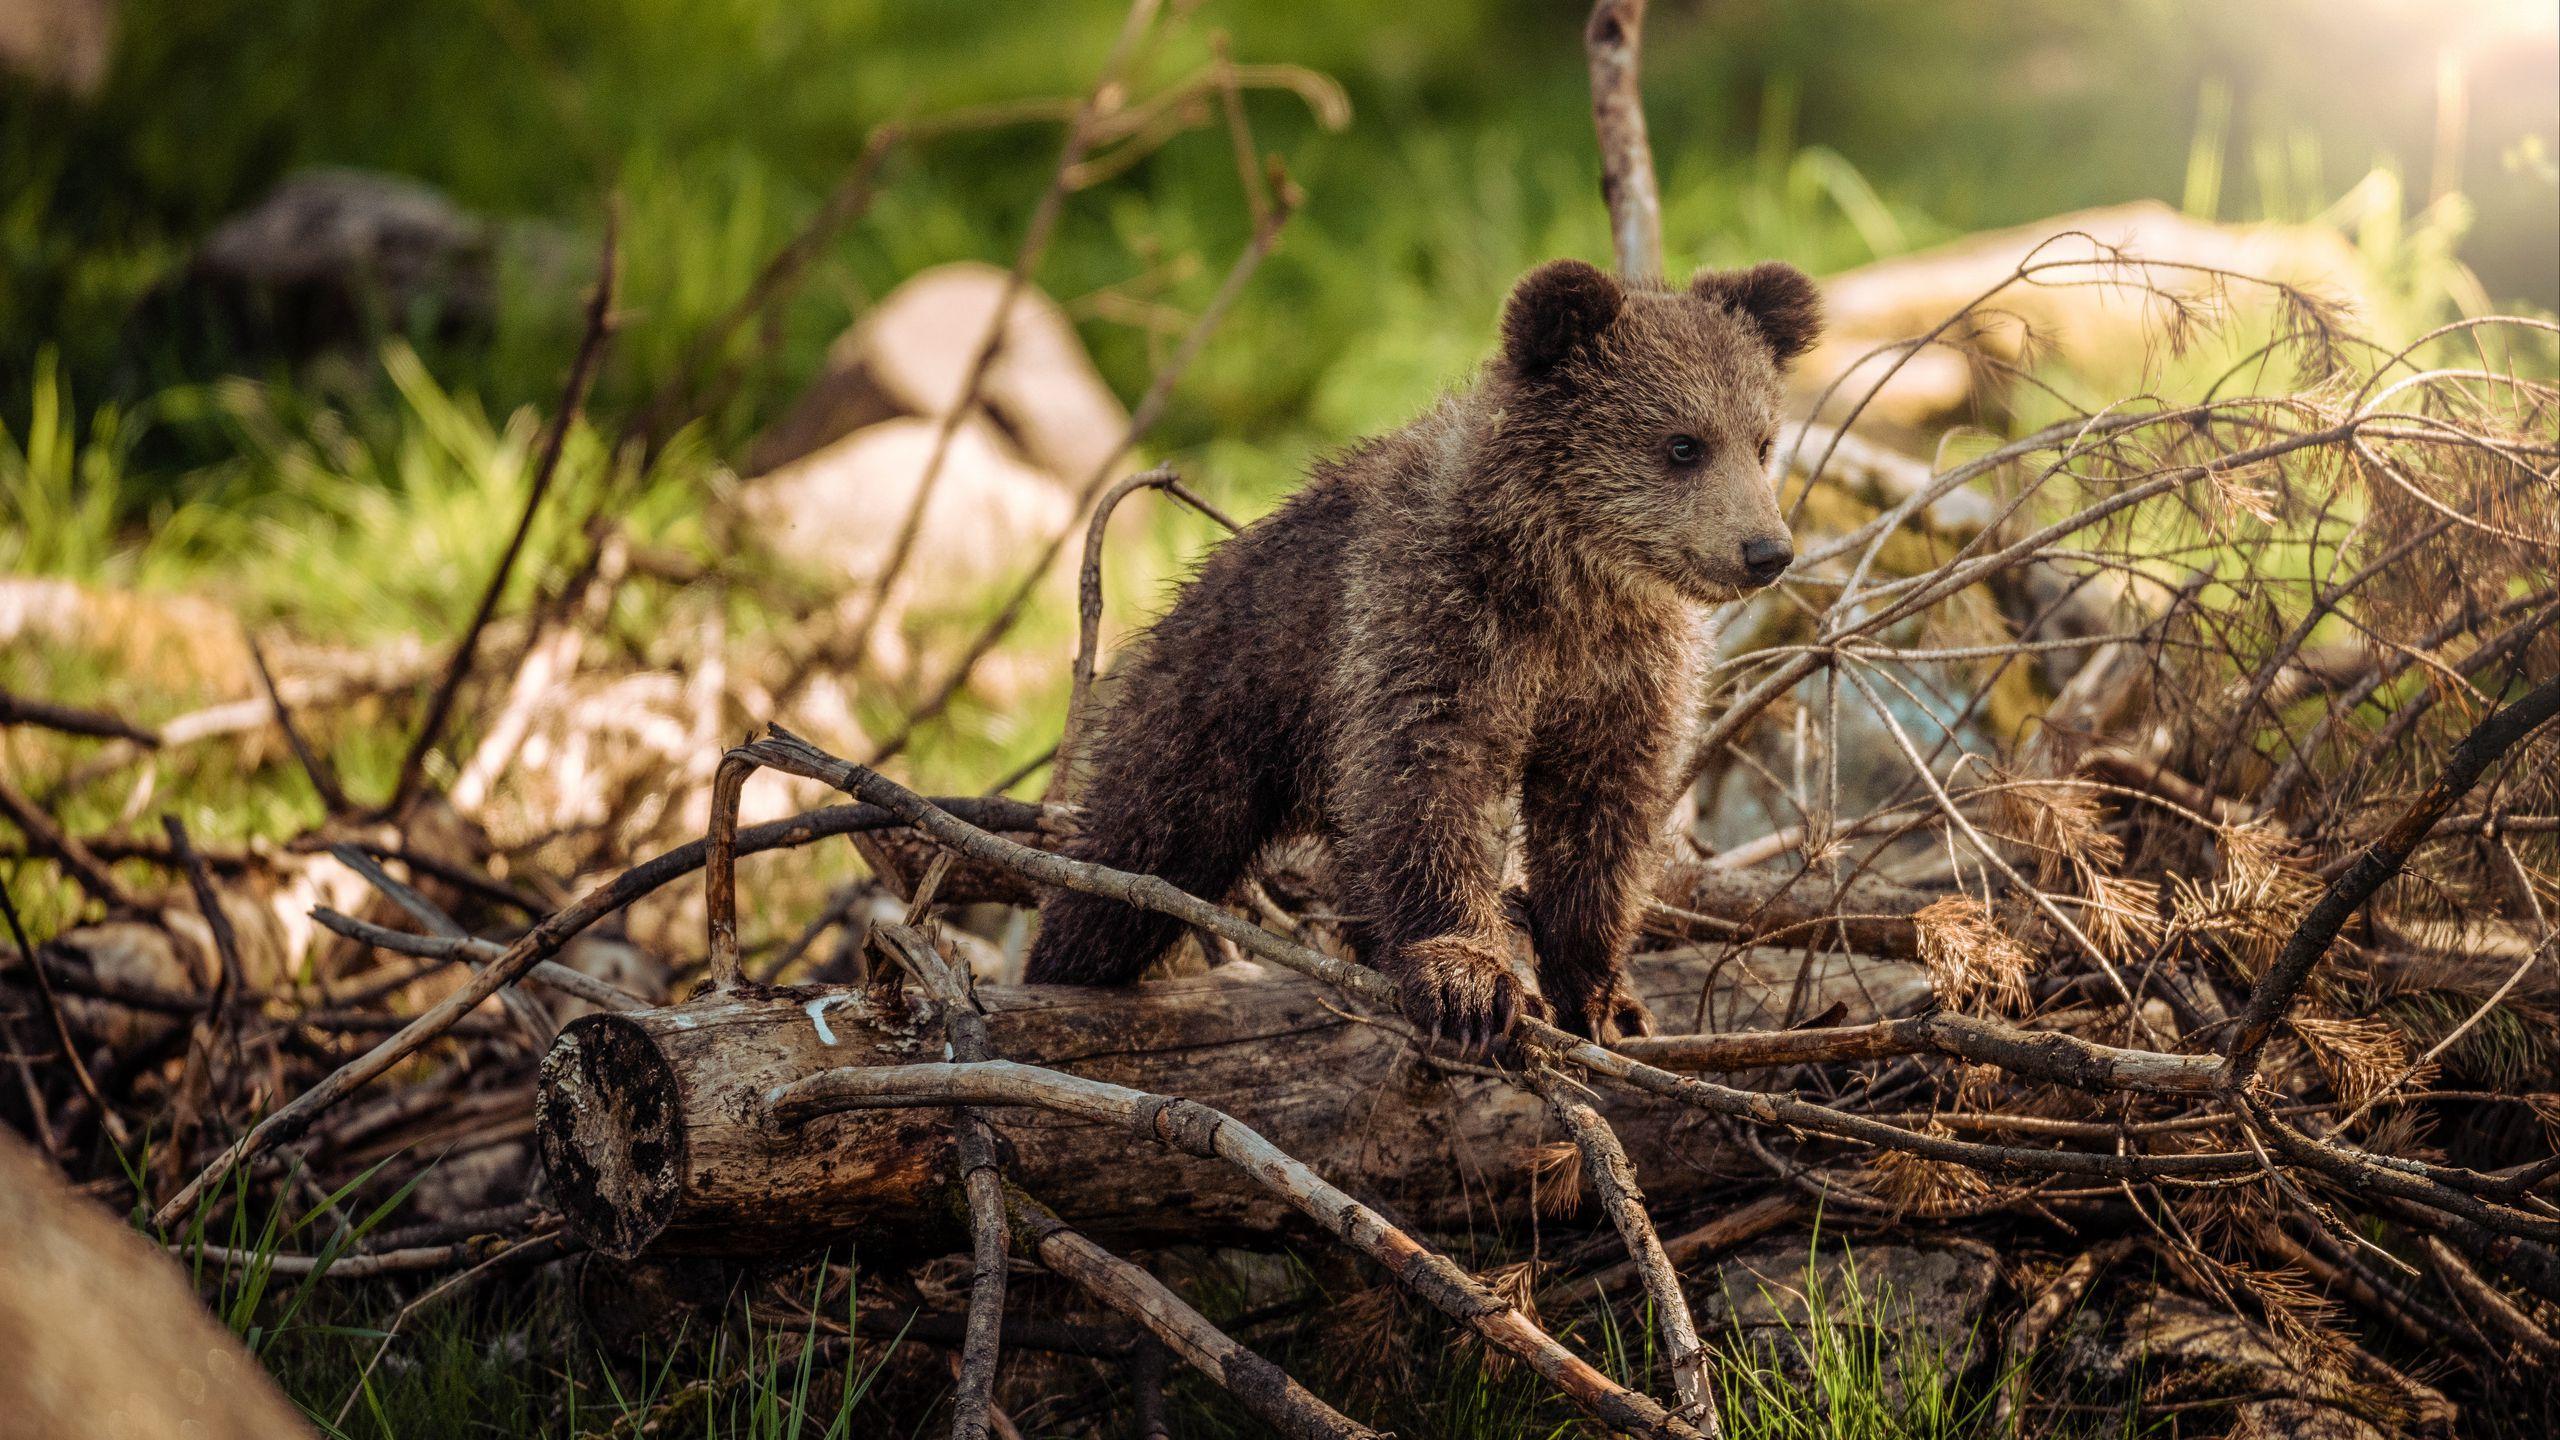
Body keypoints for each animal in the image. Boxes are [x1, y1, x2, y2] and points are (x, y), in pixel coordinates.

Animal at [1024, 257, 1822, 1049]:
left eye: (1762, 441)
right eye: (1683, 444)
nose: (1766, 551)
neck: (1567, 584)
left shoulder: (1623, 674)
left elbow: (1601, 819)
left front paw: (1605, 999)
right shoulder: (1431, 623)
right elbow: (1426, 785)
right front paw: (1469, 982)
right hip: (1214, 711)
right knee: (1134, 856)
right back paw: (1063, 967)